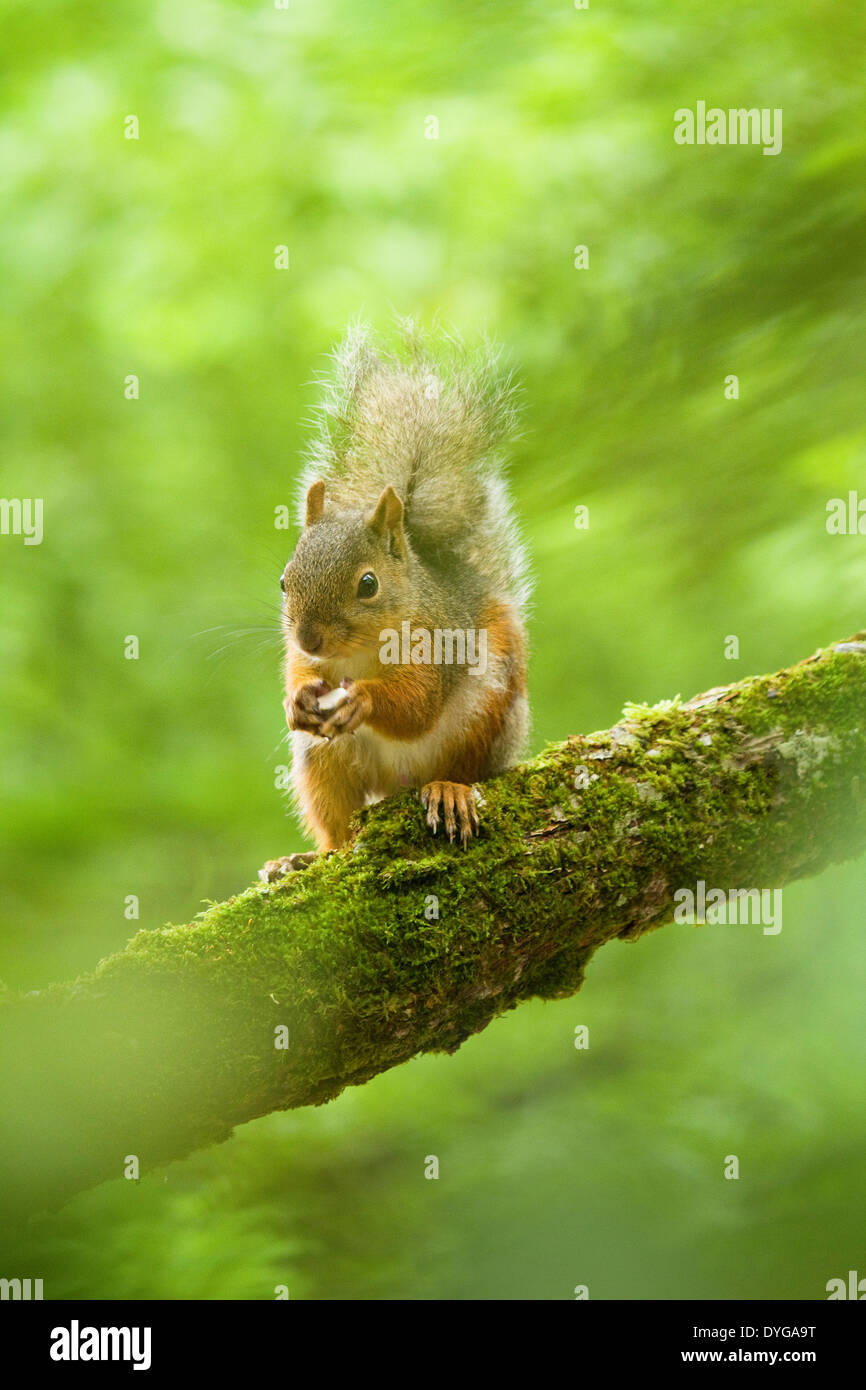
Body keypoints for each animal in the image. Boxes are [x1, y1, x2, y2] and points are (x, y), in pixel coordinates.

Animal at [260, 320, 531, 882]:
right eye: (283, 581)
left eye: (368, 584)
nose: (309, 636)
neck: (357, 655)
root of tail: (396, 783)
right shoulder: (306, 661)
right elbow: (298, 674)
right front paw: (297, 699)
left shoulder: (437, 641)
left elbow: (418, 703)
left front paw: (363, 699)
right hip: (323, 760)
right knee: (337, 822)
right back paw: (309, 857)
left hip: (487, 715)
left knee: (464, 767)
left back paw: (450, 790)